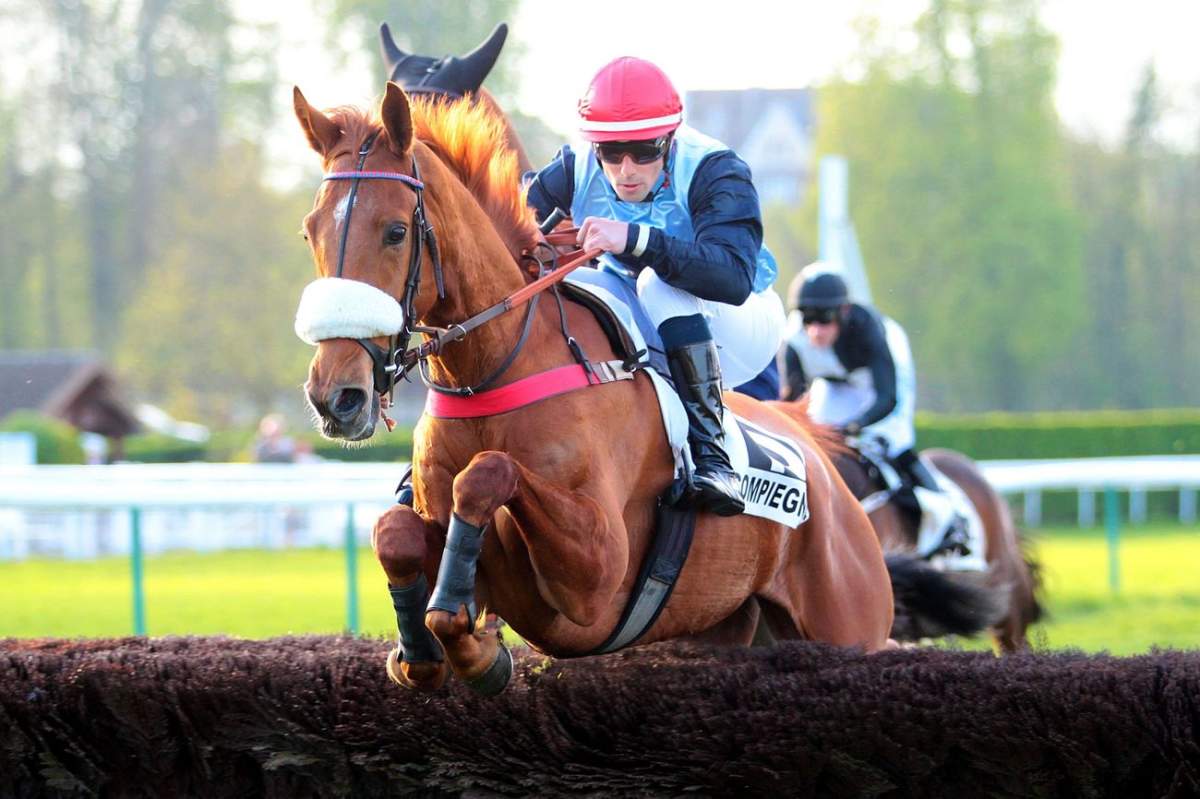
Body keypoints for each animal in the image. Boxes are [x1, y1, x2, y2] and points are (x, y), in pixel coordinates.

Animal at [291, 82, 907, 694]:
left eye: (395, 231)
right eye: (309, 230)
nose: (336, 397)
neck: (494, 370)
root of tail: (822, 463)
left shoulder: (595, 574)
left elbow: (489, 473)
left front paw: (475, 648)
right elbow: (393, 531)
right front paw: (423, 647)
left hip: (849, 617)